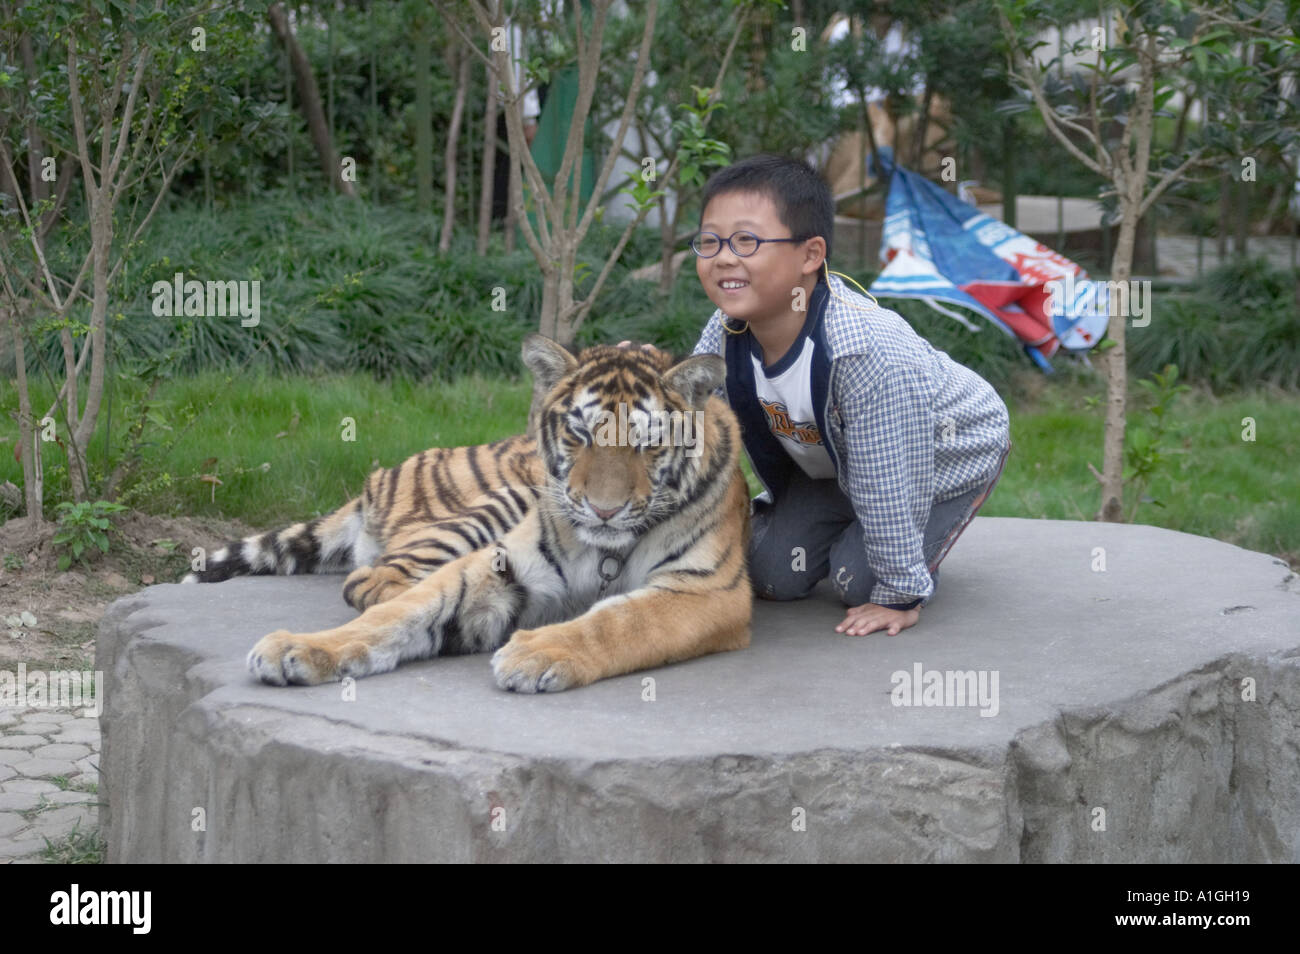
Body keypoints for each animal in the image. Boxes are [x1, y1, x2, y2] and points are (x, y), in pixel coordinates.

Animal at [182, 334, 753, 692]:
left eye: (646, 442)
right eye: (580, 433)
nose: (604, 510)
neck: (608, 549)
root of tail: (375, 477)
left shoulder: (704, 589)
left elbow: (619, 620)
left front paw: (534, 653)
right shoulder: (505, 562)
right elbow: (403, 612)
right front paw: (296, 647)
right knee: (372, 582)